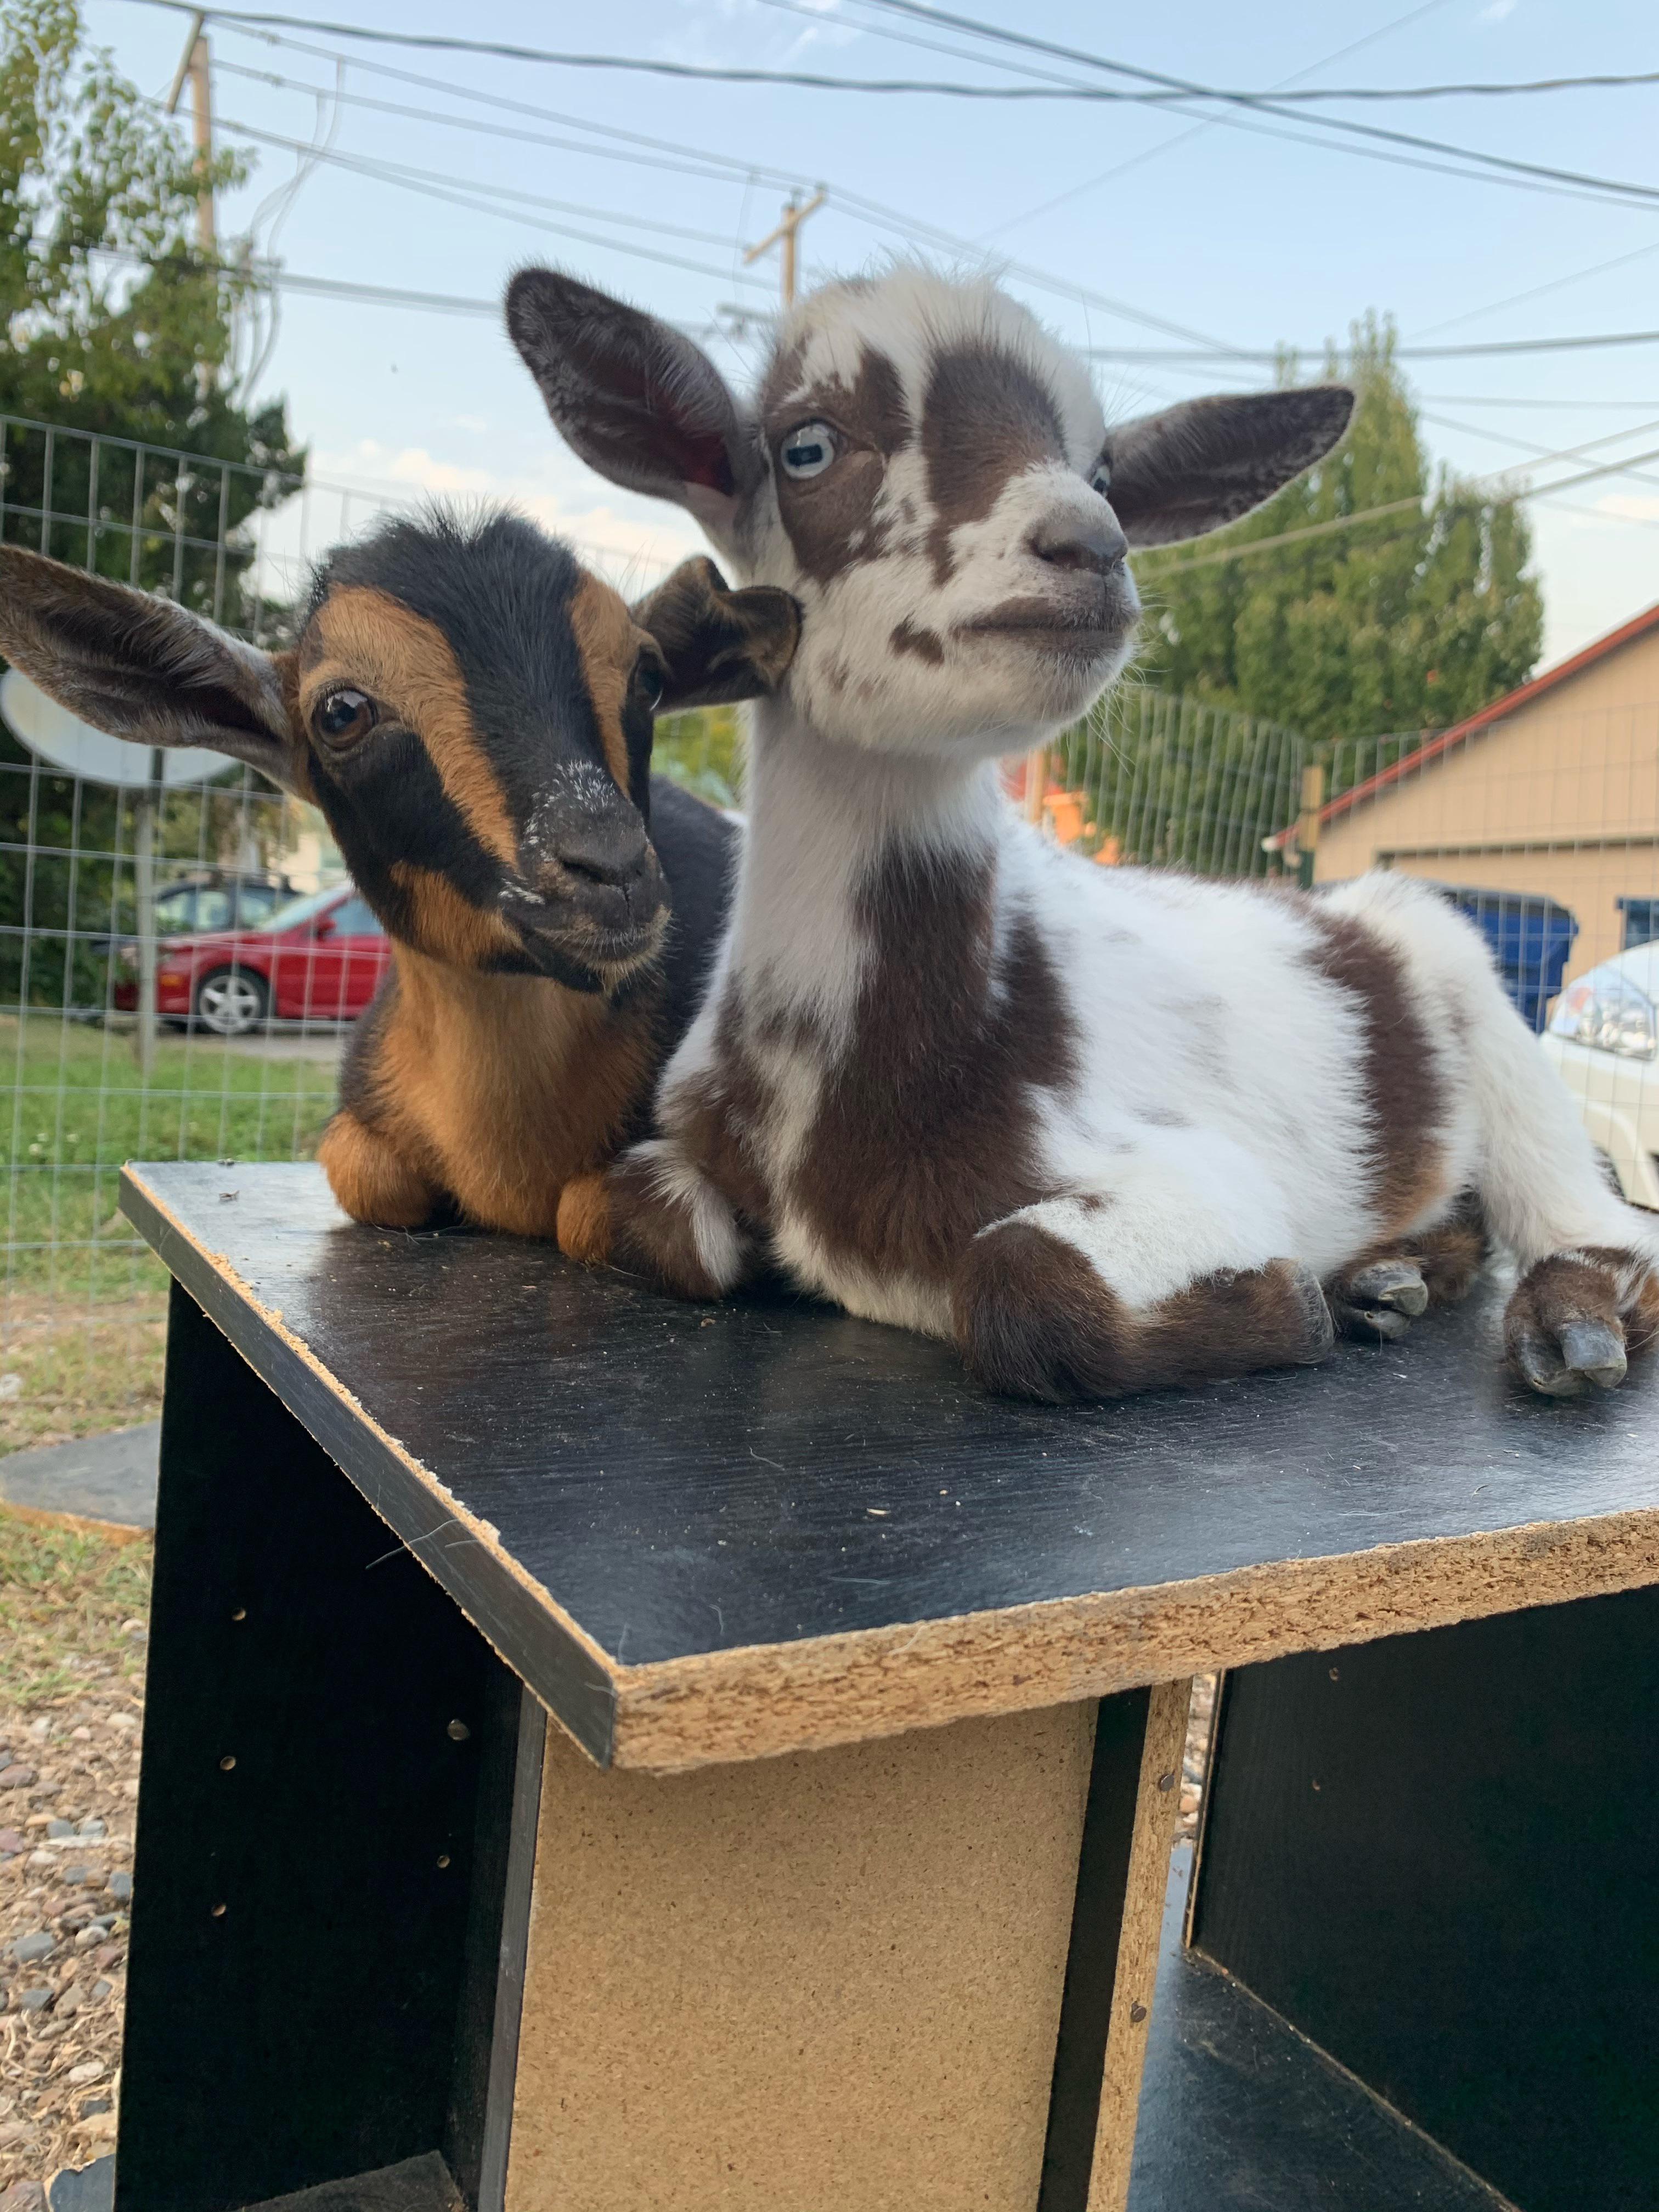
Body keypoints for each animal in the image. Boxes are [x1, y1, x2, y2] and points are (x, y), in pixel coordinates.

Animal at [506, 262, 1659, 1403]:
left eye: (1102, 467)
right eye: (806, 446)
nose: (1089, 546)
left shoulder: (1193, 1176)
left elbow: (1018, 1278)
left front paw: (1294, 1305)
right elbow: (611, 1205)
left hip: (1481, 1000)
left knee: (1578, 1198)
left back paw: (1565, 1320)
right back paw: (1392, 1277)